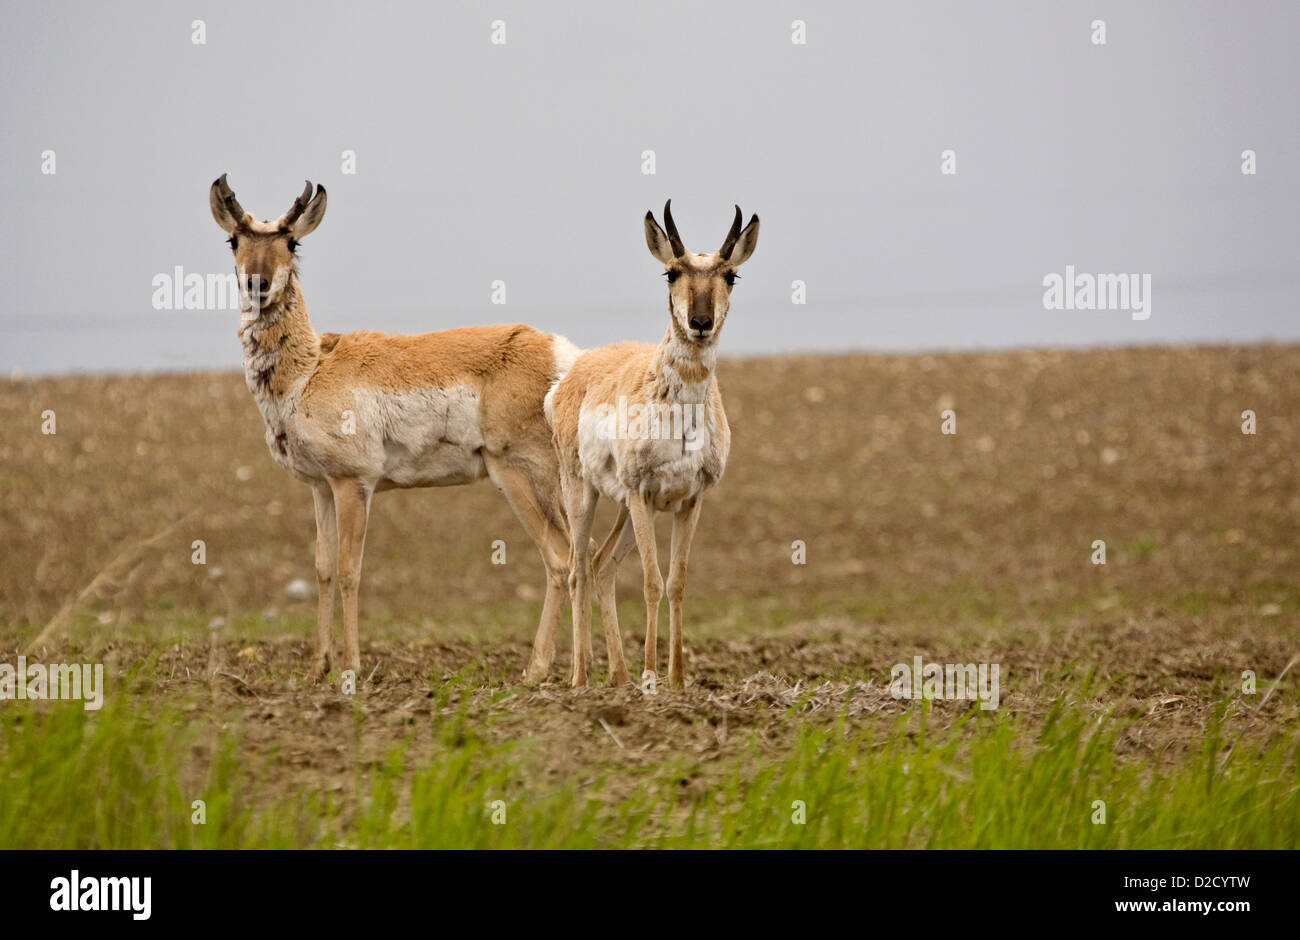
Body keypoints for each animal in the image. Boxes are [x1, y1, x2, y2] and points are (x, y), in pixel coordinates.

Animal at [209, 174, 578, 684]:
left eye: (291, 241)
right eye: (234, 239)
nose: (257, 283)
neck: (309, 368)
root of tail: (560, 353)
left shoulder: (353, 484)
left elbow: (350, 570)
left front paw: (350, 669)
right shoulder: (320, 487)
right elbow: (323, 568)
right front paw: (316, 670)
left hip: (520, 474)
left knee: (560, 557)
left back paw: (536, 672)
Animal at [547, 201, 759, 688]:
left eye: (731, 275)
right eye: (671, 272)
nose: (700, 323)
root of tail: (571, 375)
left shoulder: (689, 501)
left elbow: (676, 582)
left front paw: (677, 681)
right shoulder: (643, 495)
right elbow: (650, 580)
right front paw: (650, 680)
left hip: (625, 509)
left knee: (602, 566)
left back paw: (619, 678)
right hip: (583, 494)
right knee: (578, 570)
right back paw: (581, 679)